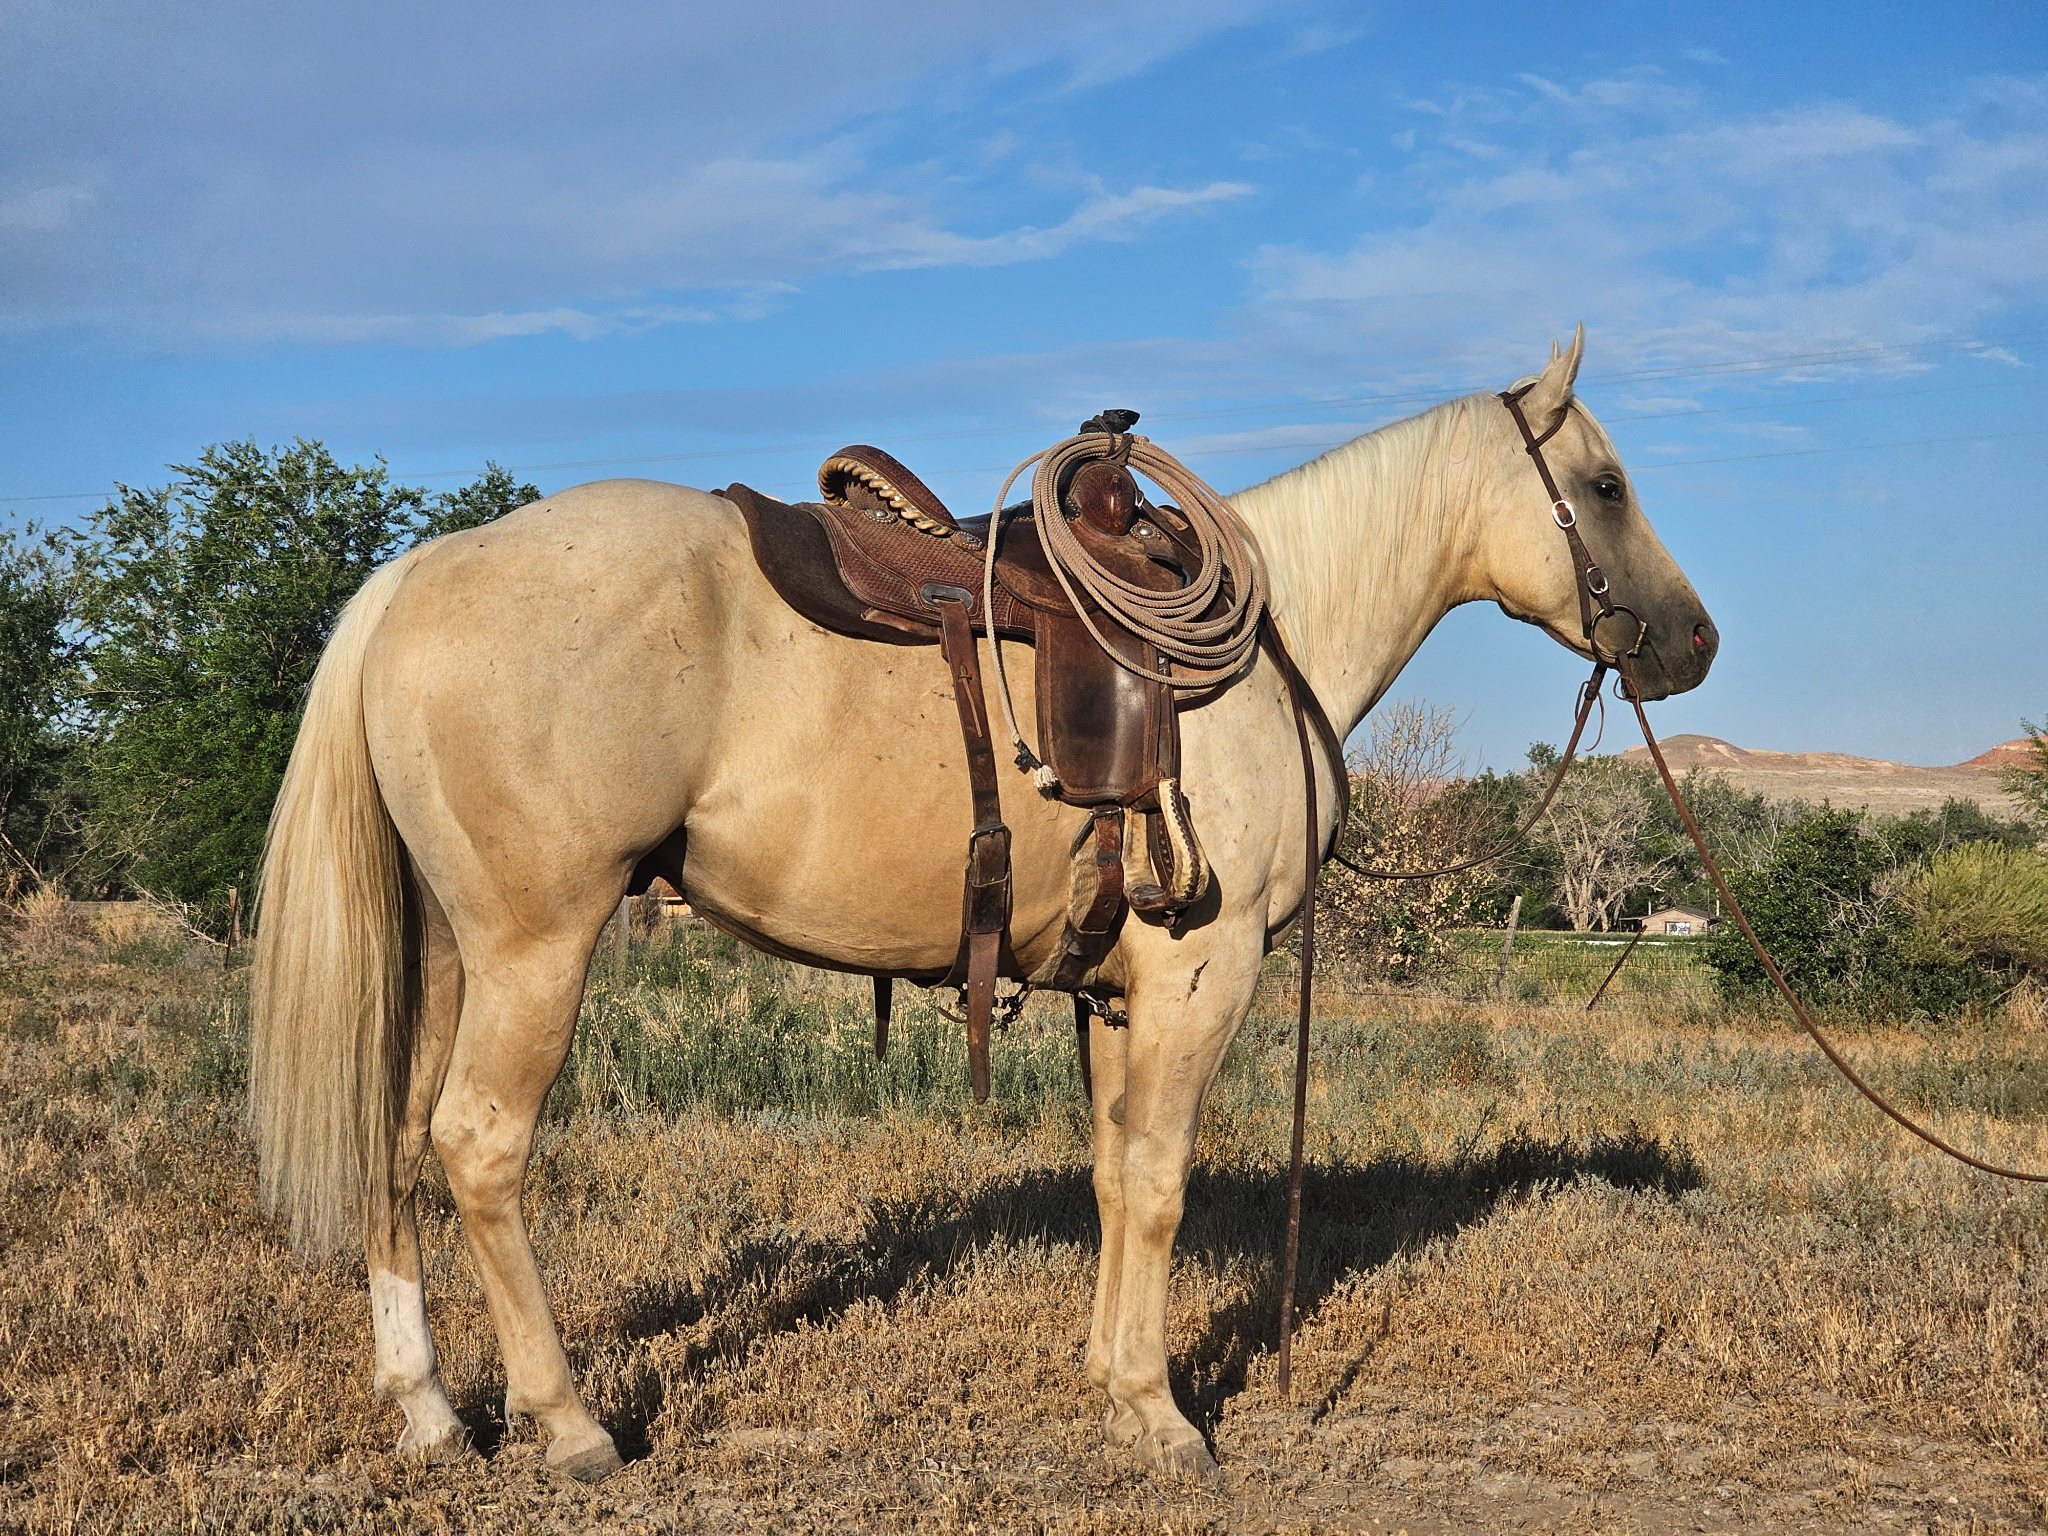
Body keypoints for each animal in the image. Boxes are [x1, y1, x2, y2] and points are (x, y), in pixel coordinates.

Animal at [249, 329, 1717, 1482]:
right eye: (1605, 485)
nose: (1692, 641)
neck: (1269, 642)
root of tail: (423, 569)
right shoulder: (1202, 976)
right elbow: (1163, 1184)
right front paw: (1165, 1419)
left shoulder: (1121, 994)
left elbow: (1118, 1178)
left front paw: (1114, 1385)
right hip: (534, 947)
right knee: (479, 1146)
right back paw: (566, 1426)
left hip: (447, 949)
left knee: (393, 1139)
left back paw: (430, 1411)